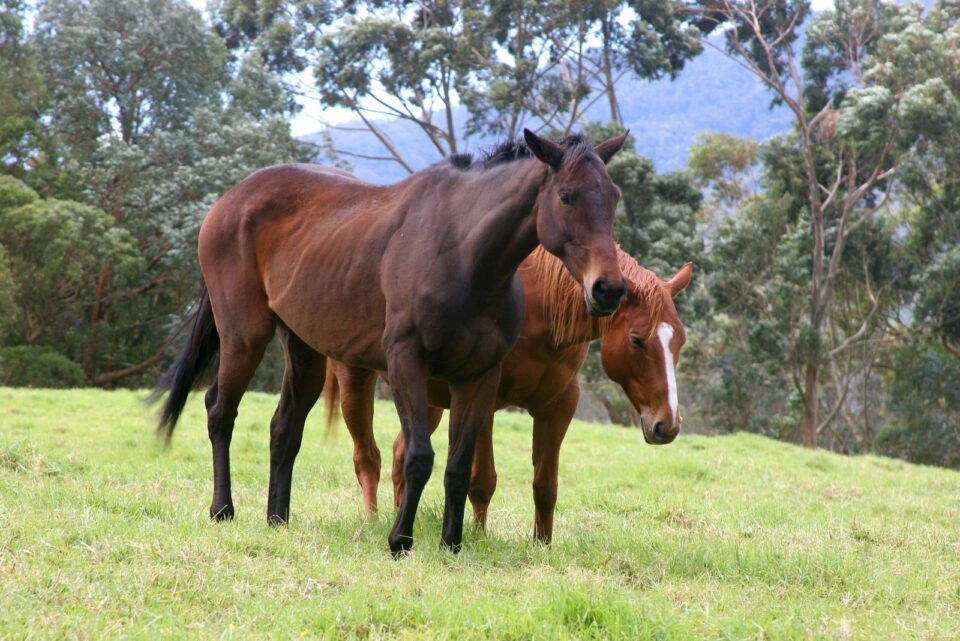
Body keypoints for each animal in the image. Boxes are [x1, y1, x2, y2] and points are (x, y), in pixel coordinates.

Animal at [151, 129, 629, 554]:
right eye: (566, 196)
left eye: (613, 196)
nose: (608, 289)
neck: (463, 256)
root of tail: (229, 200)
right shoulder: (406, 364)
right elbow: (419, 456)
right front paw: (400, 540)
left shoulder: (478, 376)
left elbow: (458, 465)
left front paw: (451, 545)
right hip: (244, 337)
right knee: (219, 411)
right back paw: (223, 509)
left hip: (305, 352)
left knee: (283, 428)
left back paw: (277, 519)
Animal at [327, 247, 691, 542]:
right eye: (636, 340)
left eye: (680, 340)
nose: (668, 424)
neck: (540, 306)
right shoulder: (484, 399)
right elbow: (482, 481)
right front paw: (476, 537)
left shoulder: (559, 406)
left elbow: (545, 486)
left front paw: (542, 546)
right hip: (355, 380)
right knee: (367, 458)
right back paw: (372, 523)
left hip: (425, 400)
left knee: (400, 454)